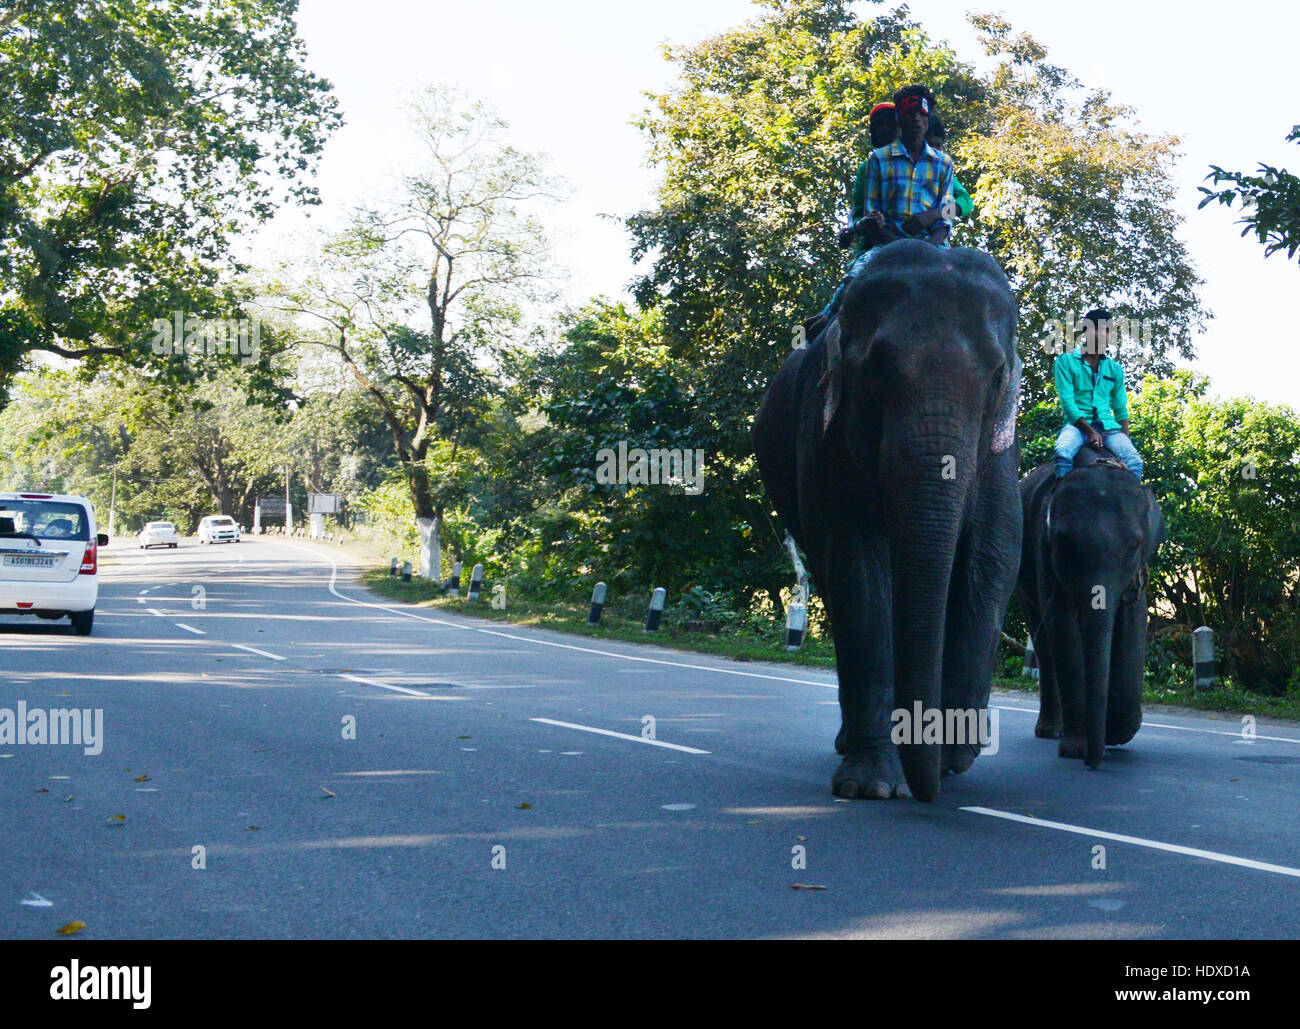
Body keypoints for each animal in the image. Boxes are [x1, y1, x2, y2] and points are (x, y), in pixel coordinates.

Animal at [753, 239, 1023, 803]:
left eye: (996, 378)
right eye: (875, 370)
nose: (928, 791)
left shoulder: (1000, 451)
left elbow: (994, 555)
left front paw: (953, 753)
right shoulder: (824, 432)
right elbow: (856, 567)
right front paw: (873, 784)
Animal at [1016, 446, 1165, 768]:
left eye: (1133, 546)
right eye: (1065, 546)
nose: (1091, 763)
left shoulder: (1136, 573)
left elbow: (1134, 626)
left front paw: (1116, 731)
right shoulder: (1043, 550)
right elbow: (1063, 627)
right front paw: (1076, 749)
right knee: (1043, 644)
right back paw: (1051, 731)